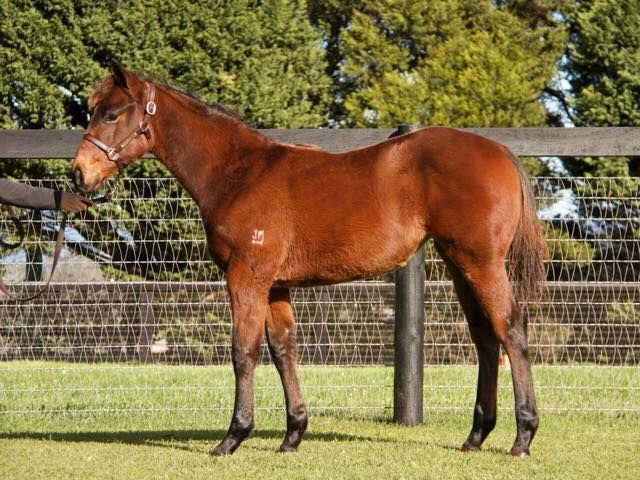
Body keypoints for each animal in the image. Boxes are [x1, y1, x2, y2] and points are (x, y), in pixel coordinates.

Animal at [71, 62, 547, 457]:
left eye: (112, 115)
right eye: (93, 111)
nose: (79, 174)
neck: (240, 173)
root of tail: (501, 152)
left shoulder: (247, 276)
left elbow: (243, 351)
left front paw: (233, 437)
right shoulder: (275, 284)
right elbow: (283, 349)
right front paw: (292, 434)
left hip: (481, 263)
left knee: (510, 329)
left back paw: (523, 436)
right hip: (458, 264)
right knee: (485, 337)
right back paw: (476, 436)